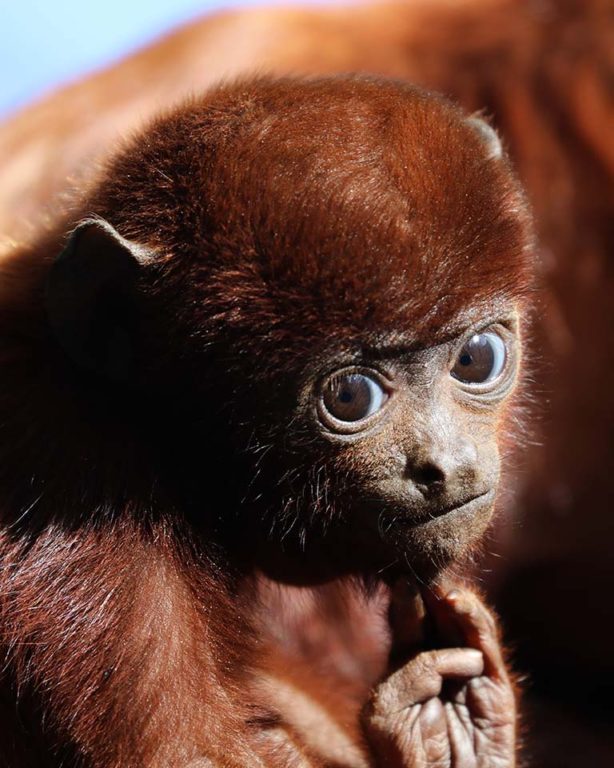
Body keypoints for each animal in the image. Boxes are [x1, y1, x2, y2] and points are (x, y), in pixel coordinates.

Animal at [0, 75, 534, 766]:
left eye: (476, 357)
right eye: (351, 396)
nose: (448, 466)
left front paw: (449, 731)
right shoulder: (67, 477)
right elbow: (188, 755)